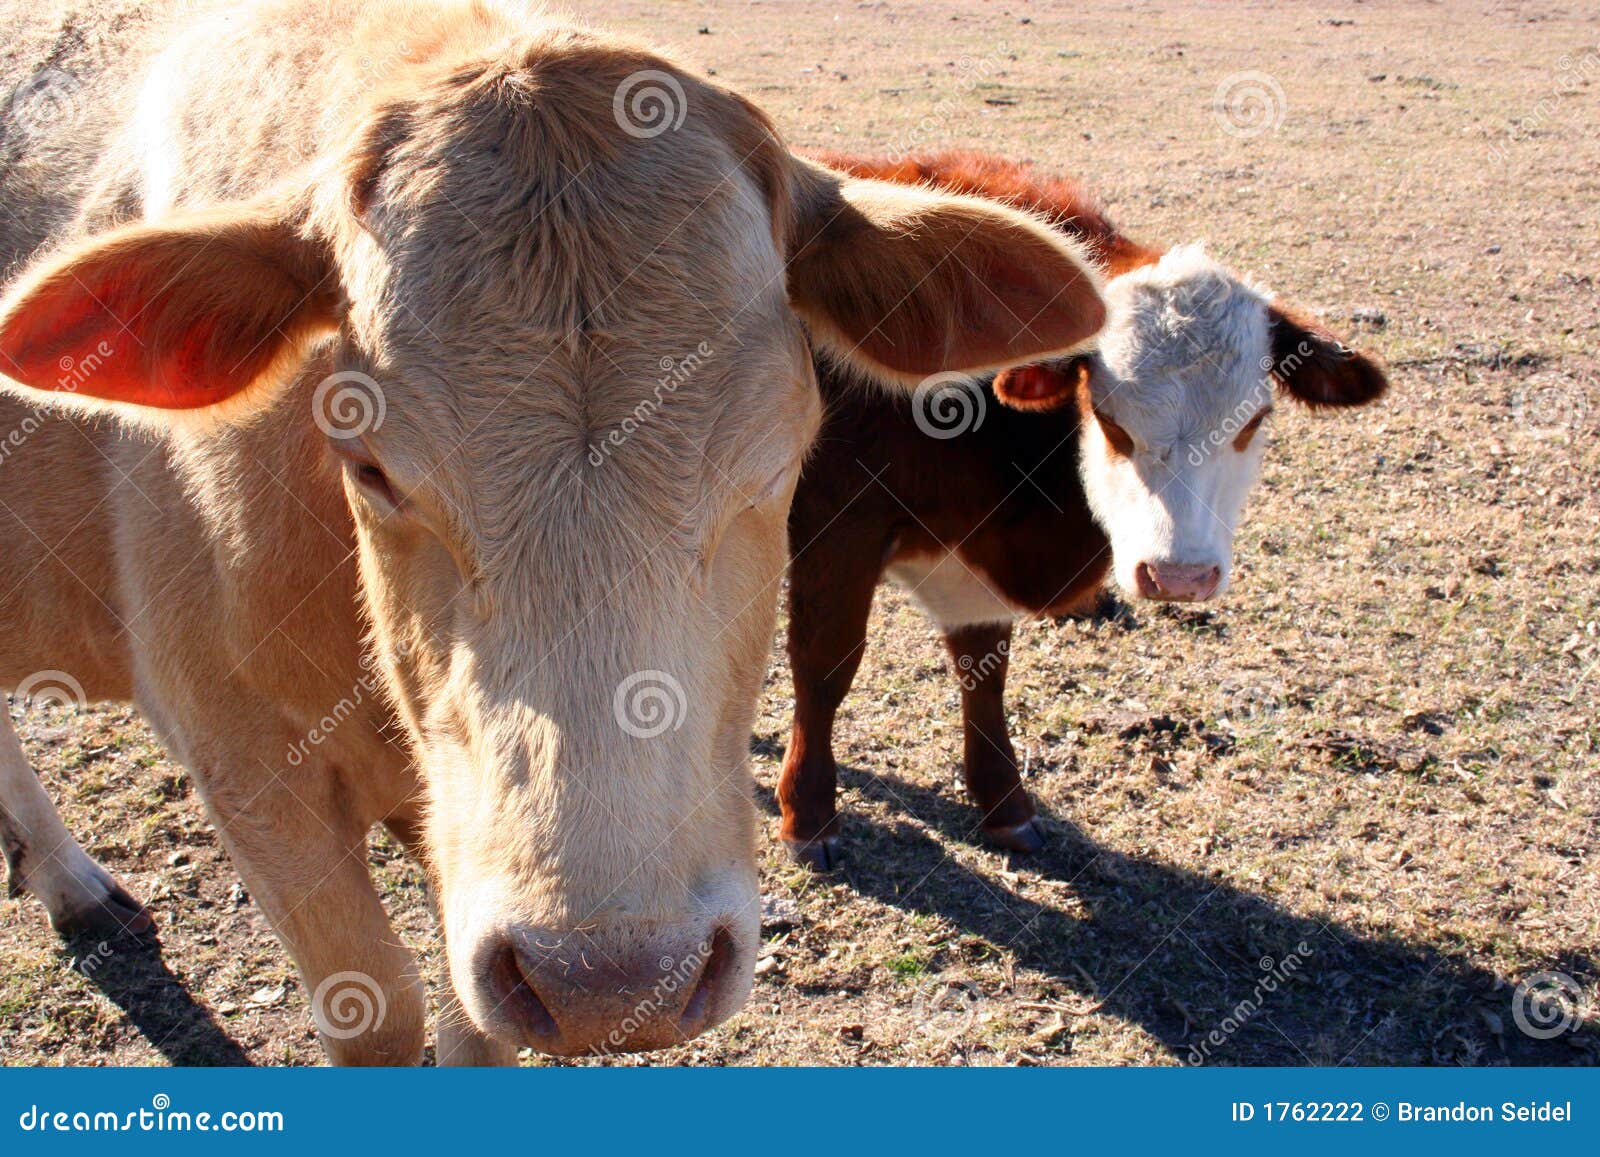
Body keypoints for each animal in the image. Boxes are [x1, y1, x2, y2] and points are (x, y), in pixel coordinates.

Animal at [777, 151, 1387, 870]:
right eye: (1107, 416)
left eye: (1254, 420)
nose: (1179, 576)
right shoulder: (837, 523)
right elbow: (826, 663)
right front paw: (809, 815)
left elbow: (984, 668)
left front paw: (1005, 804)